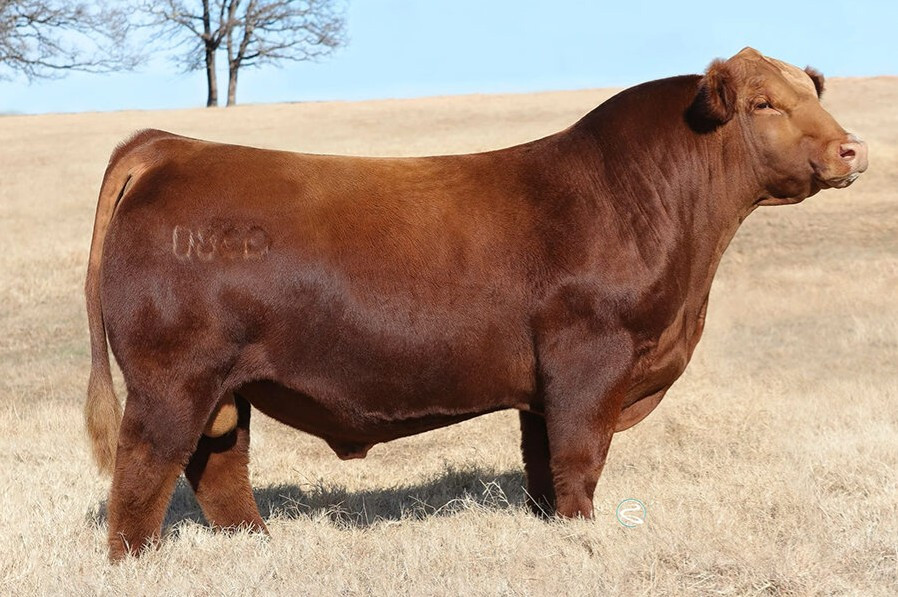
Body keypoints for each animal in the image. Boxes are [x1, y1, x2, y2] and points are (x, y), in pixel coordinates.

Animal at [84, 47, 867, 560]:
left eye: (813, 94)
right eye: (764, 103)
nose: (852, 148)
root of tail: (169, 146)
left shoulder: (544, 388)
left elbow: (542, 465)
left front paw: (555, 530)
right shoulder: (589, 361)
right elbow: (580, 457)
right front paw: (585, 537)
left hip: (224, 385)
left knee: (218, 466)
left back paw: (257, 548)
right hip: (171, 377)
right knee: (142, 468)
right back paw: (137, 564)